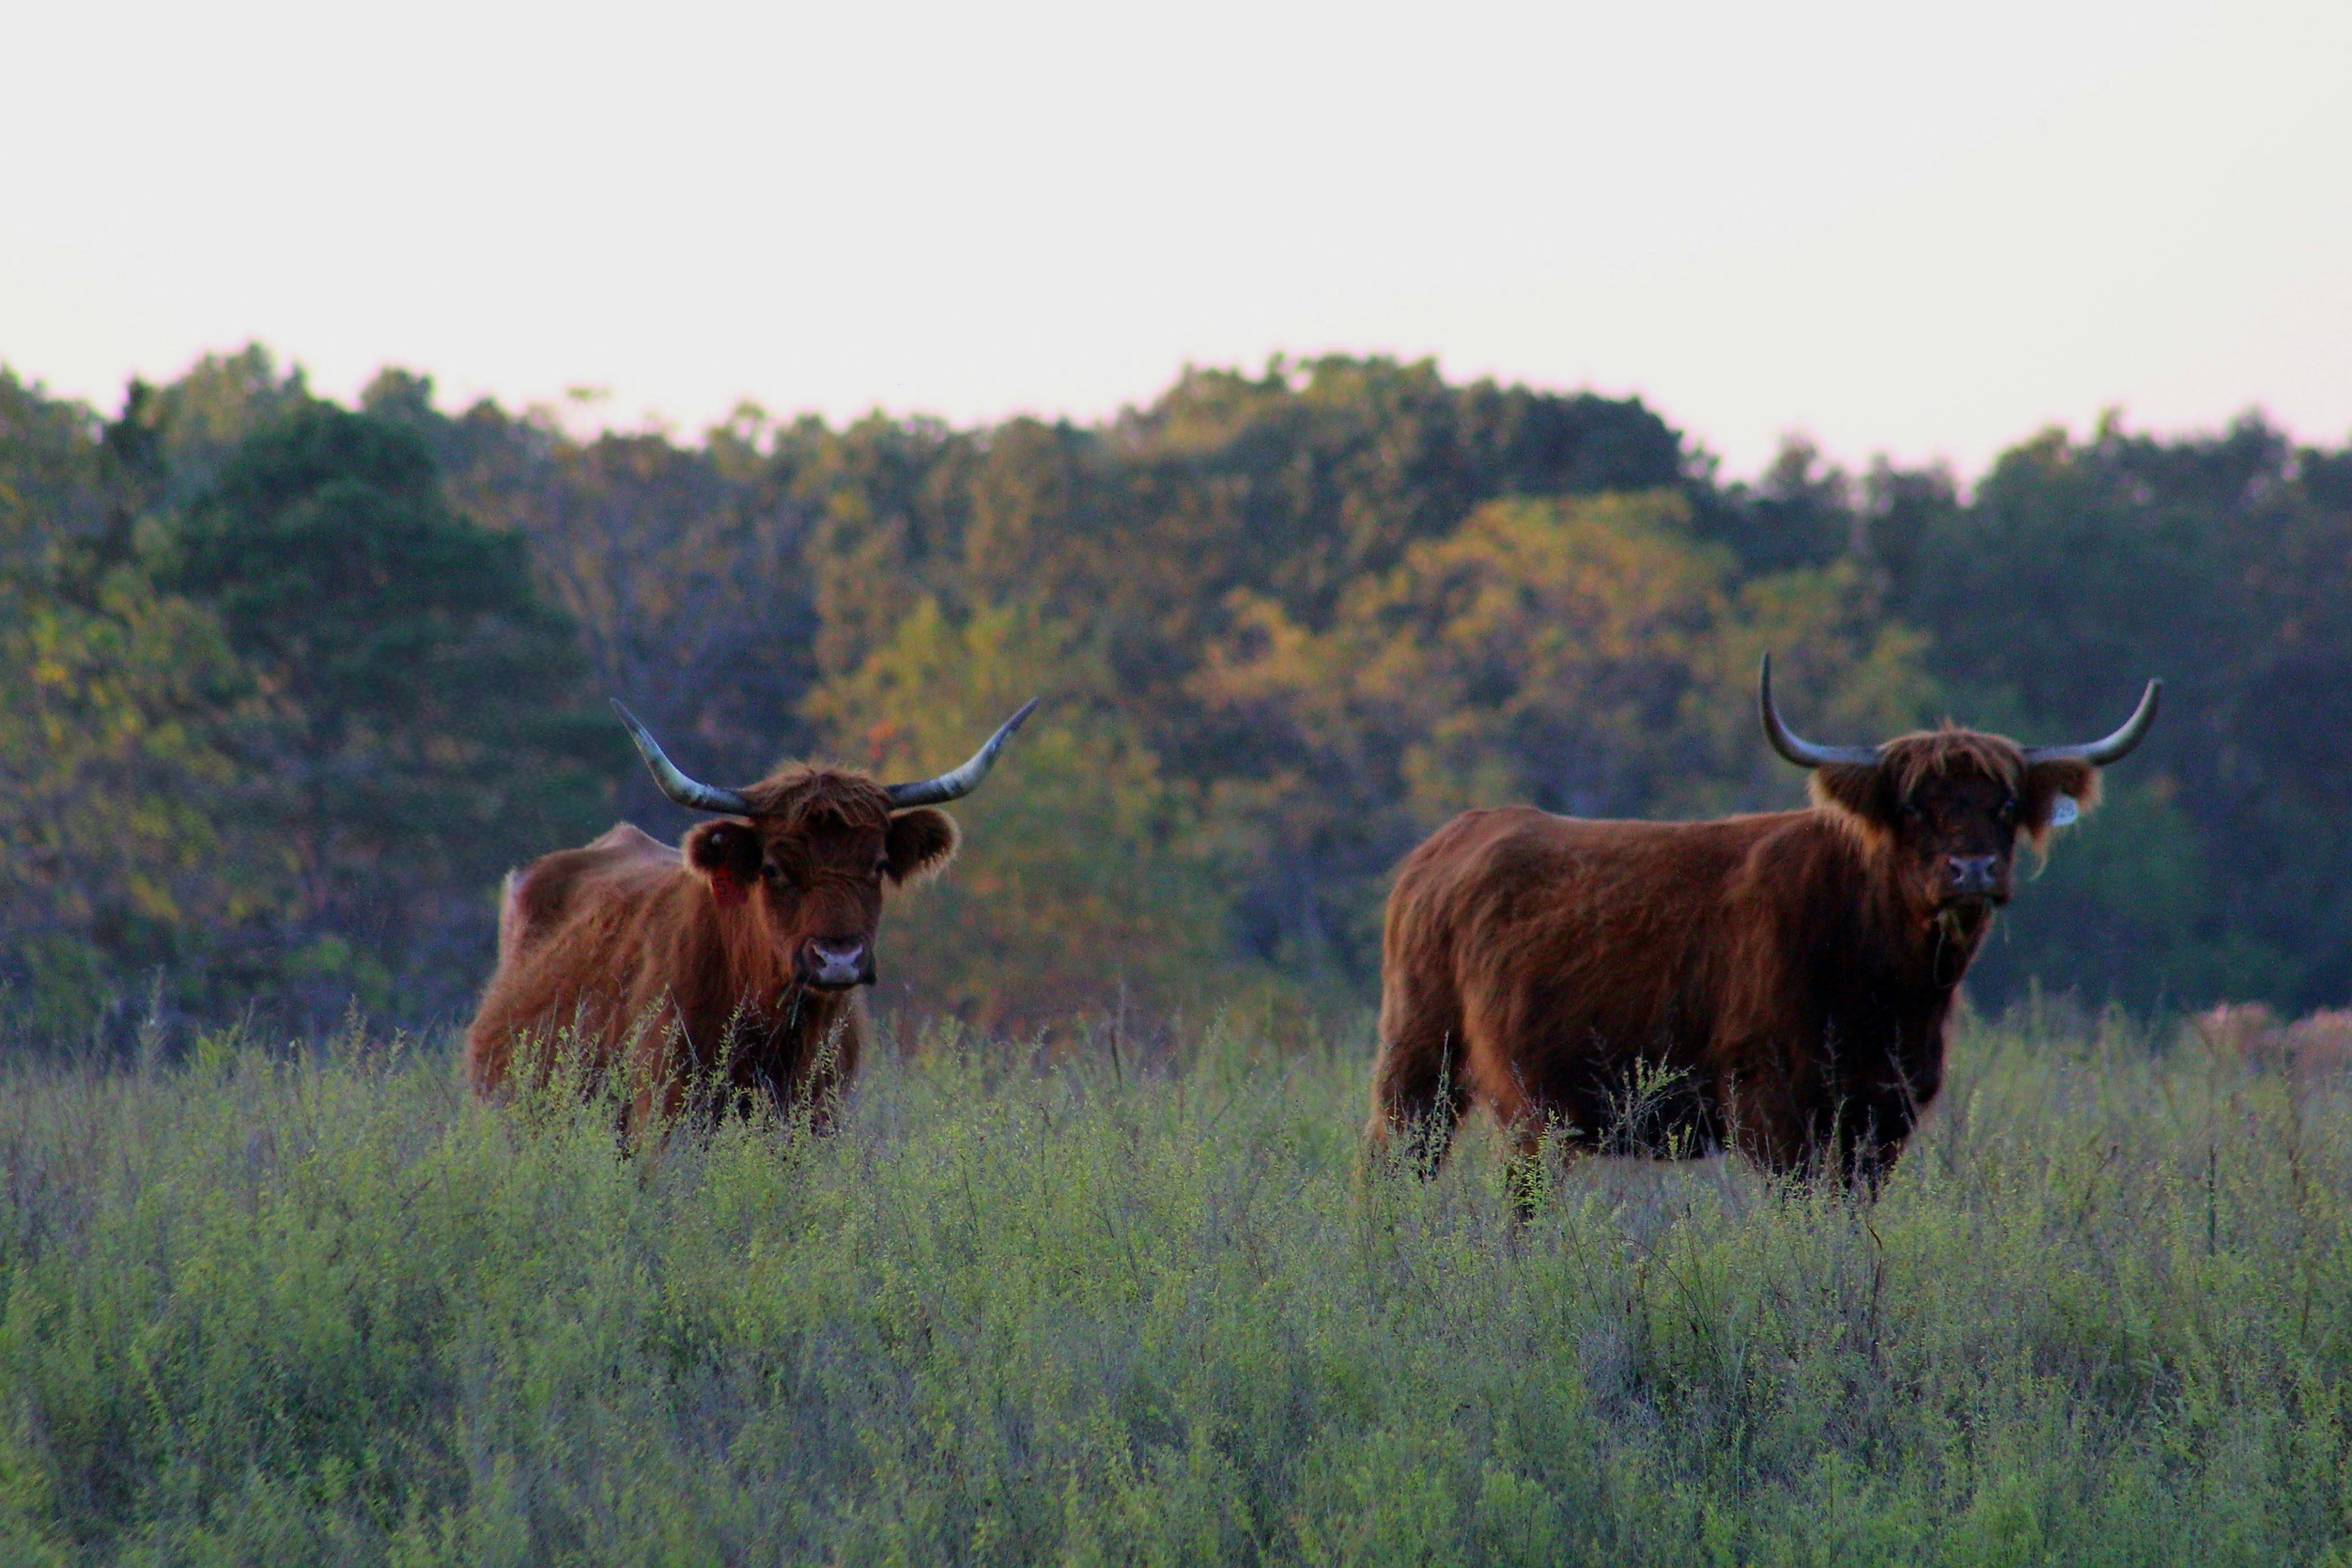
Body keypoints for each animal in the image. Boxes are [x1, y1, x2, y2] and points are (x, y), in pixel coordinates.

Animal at [1366, 657, 2159, 1188]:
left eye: (2004, 805)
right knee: (1393, 1167)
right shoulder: (1772, 1101)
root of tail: (1449, 841)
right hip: (1420, 1061)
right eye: (1912, 807)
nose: (1971, 870)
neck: (1887, 988)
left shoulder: (1883, 1111)